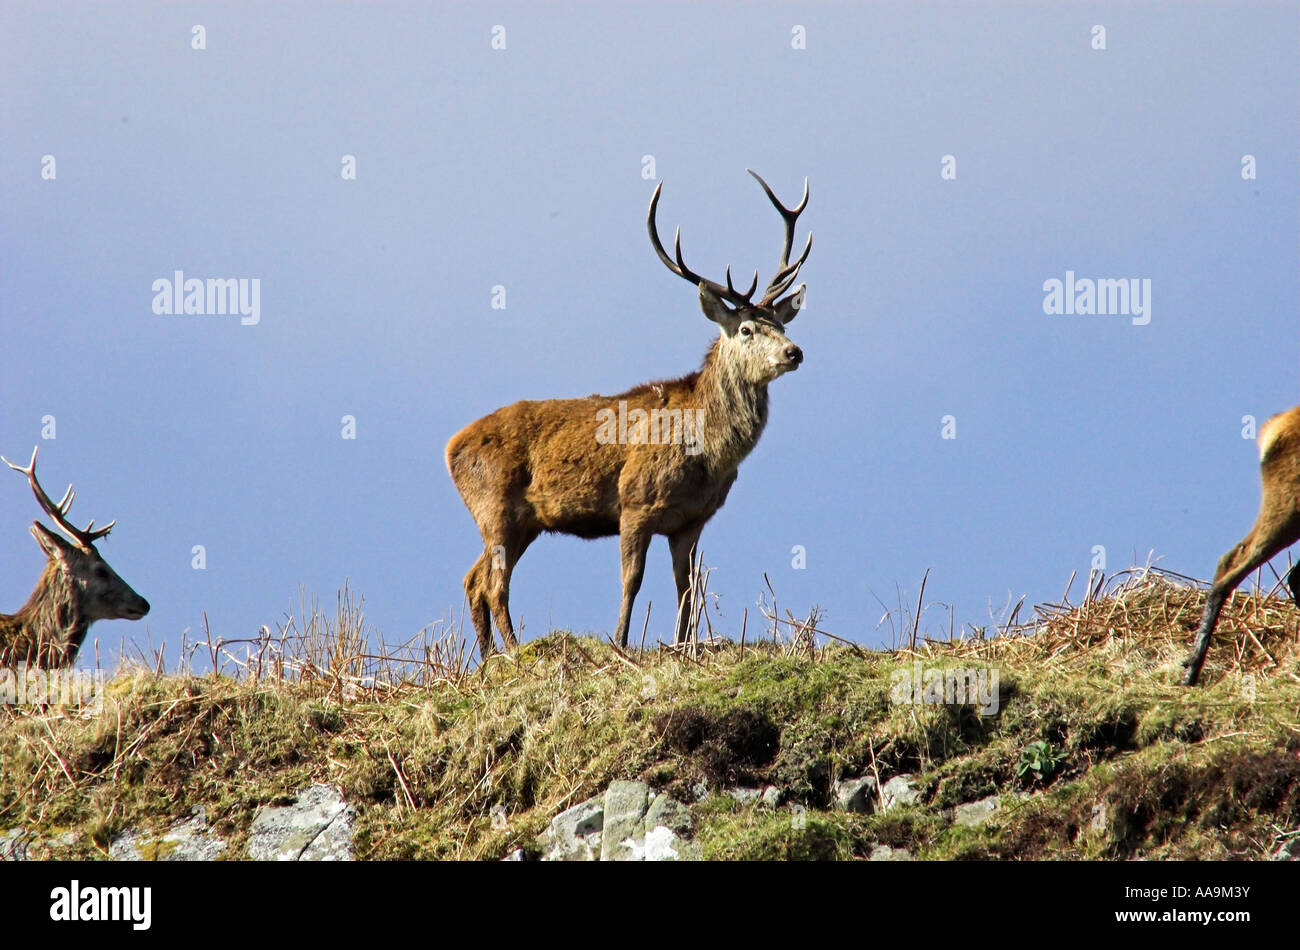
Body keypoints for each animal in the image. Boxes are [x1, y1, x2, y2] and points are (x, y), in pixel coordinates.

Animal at [446, 170, 812, 658]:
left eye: (783, 325)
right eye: (748, 329)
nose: (794, 352)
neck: (706, 453)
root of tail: (450, 447)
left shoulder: (691, 520)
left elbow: (687, 587)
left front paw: (683, 645)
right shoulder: (635, 502)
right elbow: (631, 579)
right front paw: (620, 642)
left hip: (523, 522)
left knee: (473, 579)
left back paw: (489, 657)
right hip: (495, 506)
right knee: (493, 583)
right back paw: (515, 650)